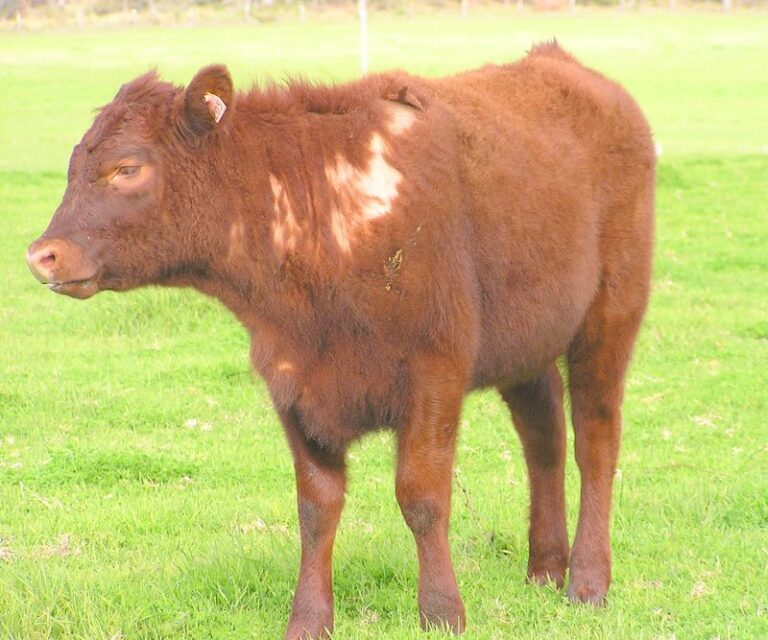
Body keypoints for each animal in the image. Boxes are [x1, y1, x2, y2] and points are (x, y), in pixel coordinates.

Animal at [27, 42, 654, 639]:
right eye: (74, 164)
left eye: (127, 168)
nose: (42, 254)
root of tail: (564, 65)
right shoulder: (292, 382)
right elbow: (317, 507)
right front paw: (308, 620)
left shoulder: (435, 369)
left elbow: (422, 497)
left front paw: (442, 612)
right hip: (527, 341)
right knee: (543, 435)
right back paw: (545, 567)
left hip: (610, 314)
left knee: (594, 440)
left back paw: (587, 581)